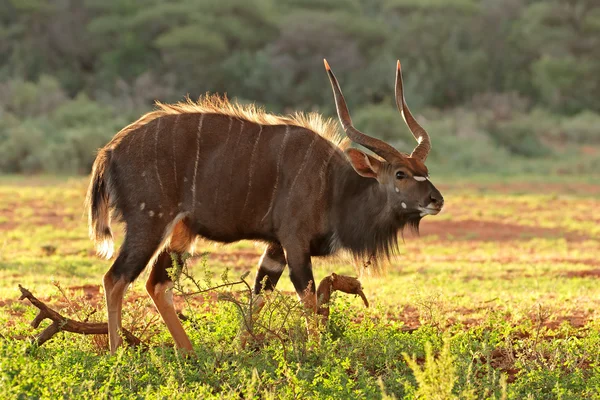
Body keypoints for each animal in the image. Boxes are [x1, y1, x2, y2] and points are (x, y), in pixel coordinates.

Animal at [85, 60, 440, 354]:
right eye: (400, 173)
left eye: (425, 170)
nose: (437, 200)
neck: (333, 186)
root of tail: (108, 151)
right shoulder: (295, 242)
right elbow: (308, 298)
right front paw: (318, 353)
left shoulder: (275, 248)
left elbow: (259, 296)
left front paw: (238, 351)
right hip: (149, 223)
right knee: (115, 278)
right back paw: (118, 355)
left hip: (182, 231)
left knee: (156, 283)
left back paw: (189, 354)